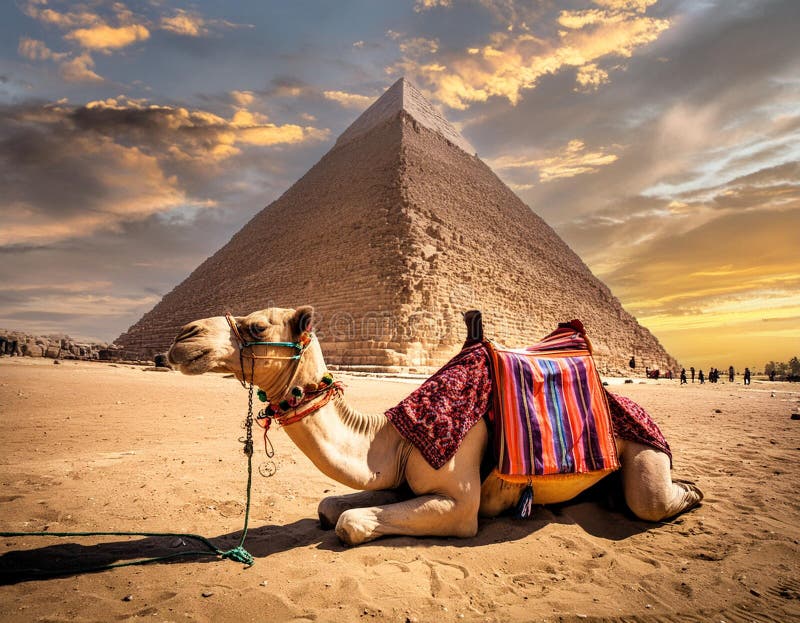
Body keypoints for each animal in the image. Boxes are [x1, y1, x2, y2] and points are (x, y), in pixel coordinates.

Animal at [167, 306, 703, 546]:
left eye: (257, 326)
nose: (182, 337)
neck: (391, 438)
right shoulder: (400, 480)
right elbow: (330, 505)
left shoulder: (459, 504)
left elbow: (350, 522)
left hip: (644, 449)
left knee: (651, 500)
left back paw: (692, 492)